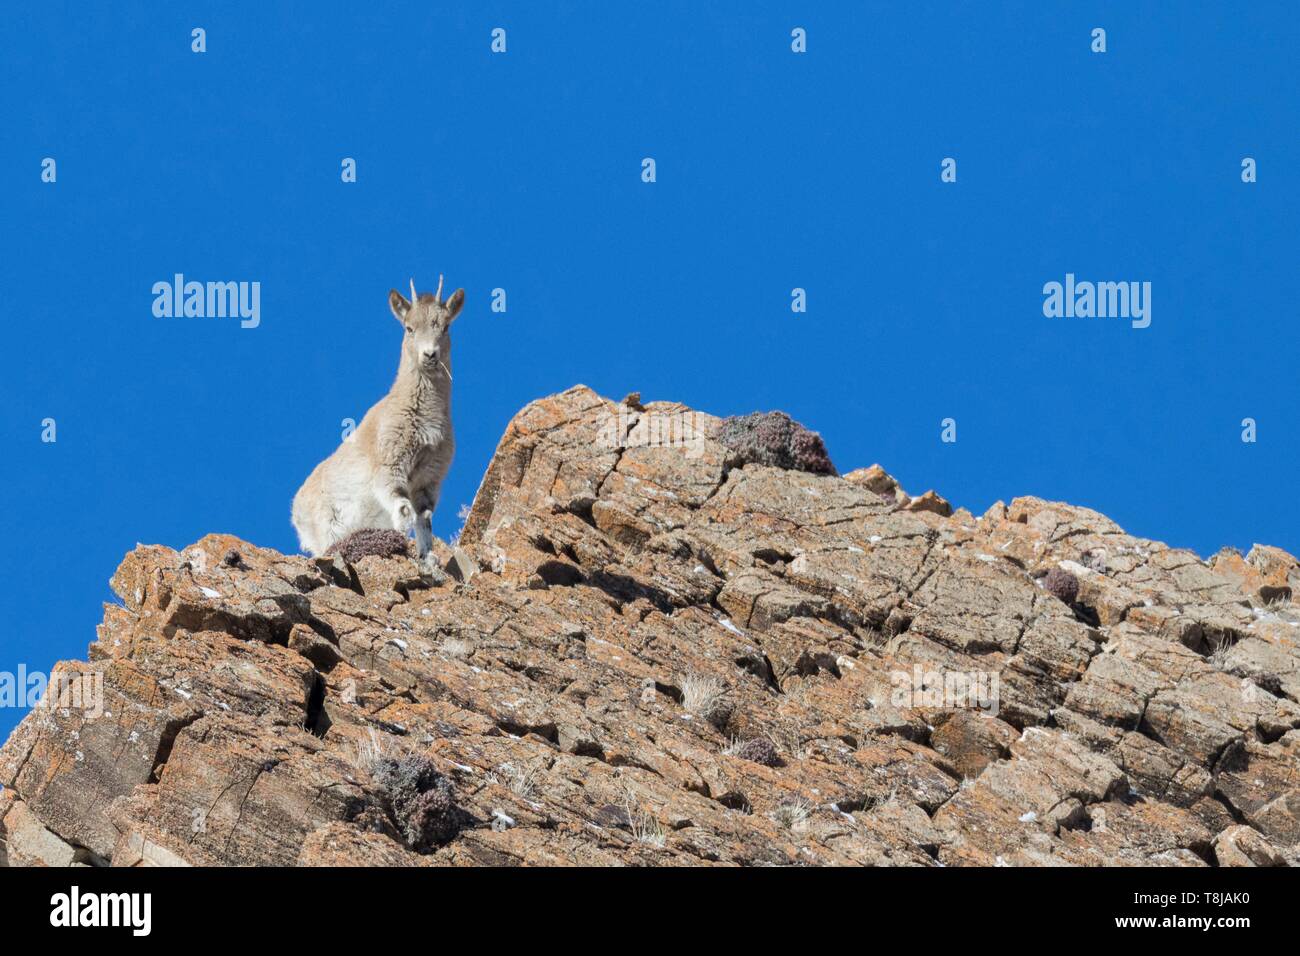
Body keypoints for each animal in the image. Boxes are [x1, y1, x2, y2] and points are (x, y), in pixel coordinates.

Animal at [292, 277, 463, 564]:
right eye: (409, 328)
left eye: (445, 325)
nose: (430, 355)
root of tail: (296, 509)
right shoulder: (389, 469)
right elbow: (404, 512)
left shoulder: (428, 480)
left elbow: (424, 519)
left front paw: (428, 557)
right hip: (326, 529)